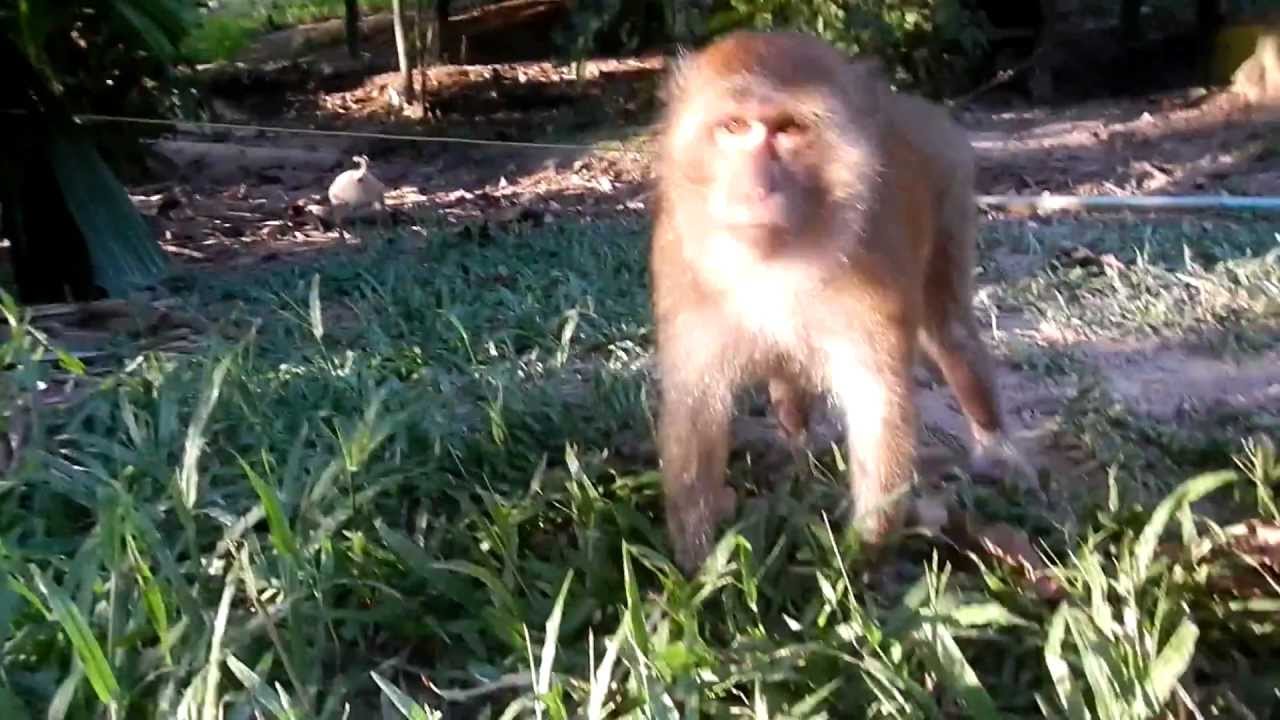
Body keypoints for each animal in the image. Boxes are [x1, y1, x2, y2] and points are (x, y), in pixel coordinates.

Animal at [648, 30, 1035, 574]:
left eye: (789, 129)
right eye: (733, 126)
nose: (757, 185)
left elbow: (877, 398)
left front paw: (861, 557)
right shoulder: (682, 268)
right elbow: (696, 406)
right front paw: (698, 565)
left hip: (953, 190)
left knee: (951, 332)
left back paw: (995, 443)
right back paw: (798, 454)